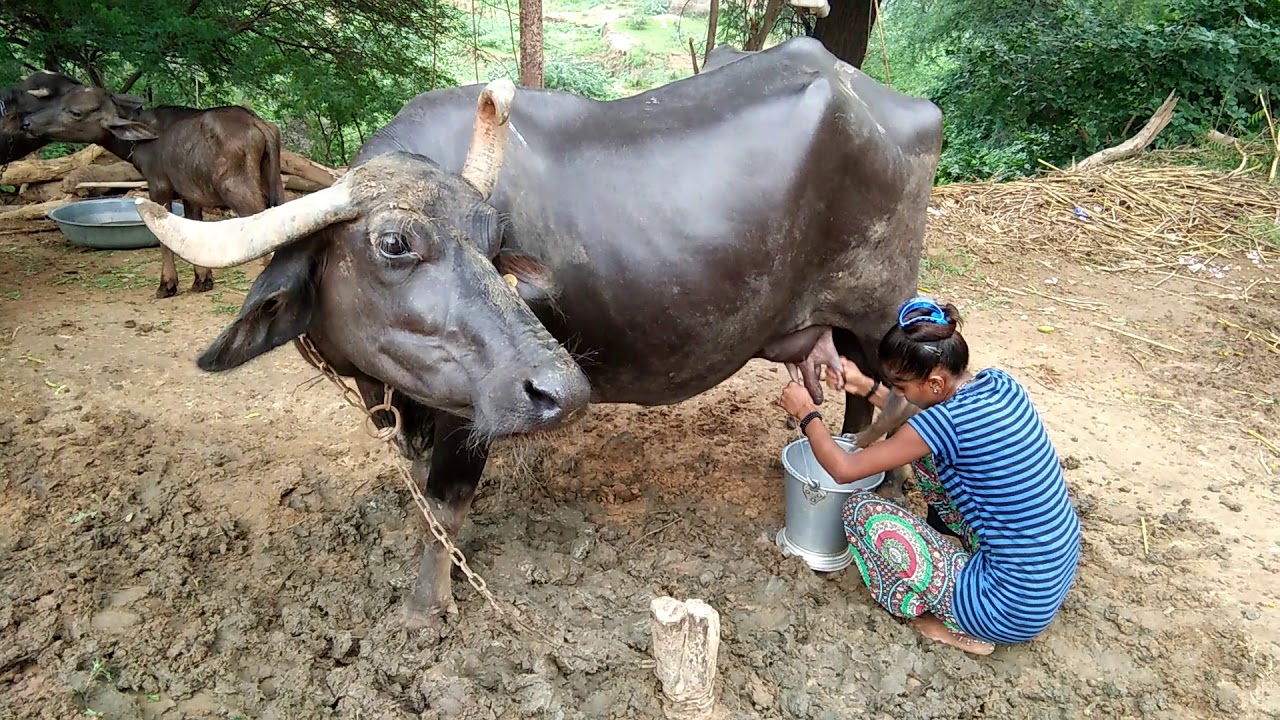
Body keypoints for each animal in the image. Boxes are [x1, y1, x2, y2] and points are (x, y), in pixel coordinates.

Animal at [130, 37, 943, 628]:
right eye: (393, 243)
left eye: (494, 243)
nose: (560, 388)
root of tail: (882, 98)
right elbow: (422, 491)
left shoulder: (468, 413)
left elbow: (445, 503)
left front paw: (425, 610)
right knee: (860, 398)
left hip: (881, 313)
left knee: (902, 399)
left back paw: (887, 479)